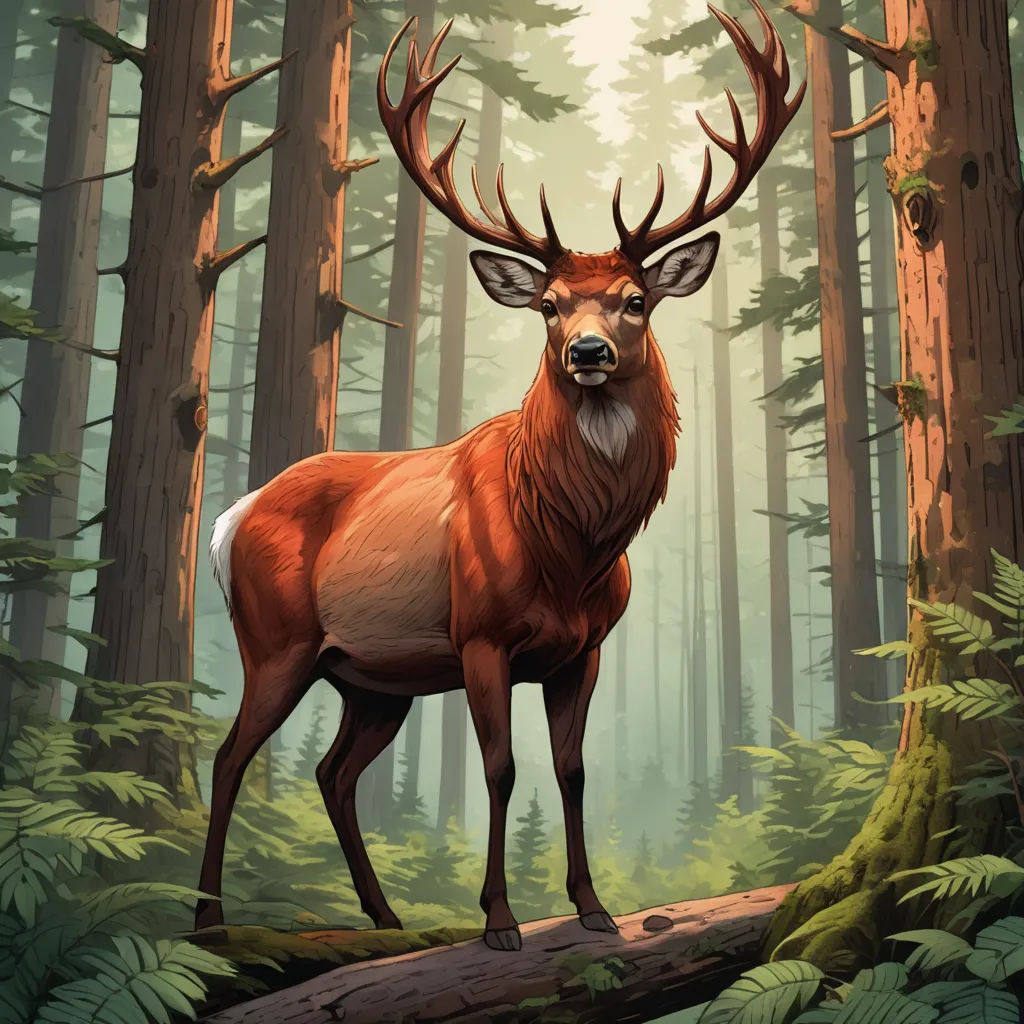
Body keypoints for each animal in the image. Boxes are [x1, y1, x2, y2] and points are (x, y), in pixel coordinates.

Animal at [194, 0, 804, 951]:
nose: (587, 352)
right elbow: (501, 769)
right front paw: (500, 920)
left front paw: (592, 908)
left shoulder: (584, 649)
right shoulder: (480, 636)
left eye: (636, 300)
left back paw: (387, 918)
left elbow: (573, 770)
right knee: (228, 756)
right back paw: (210, 922)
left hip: (374, 677)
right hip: (278, 641)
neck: (571, 544)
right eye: (549, 306)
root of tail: (231, 518)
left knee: (333, 771)